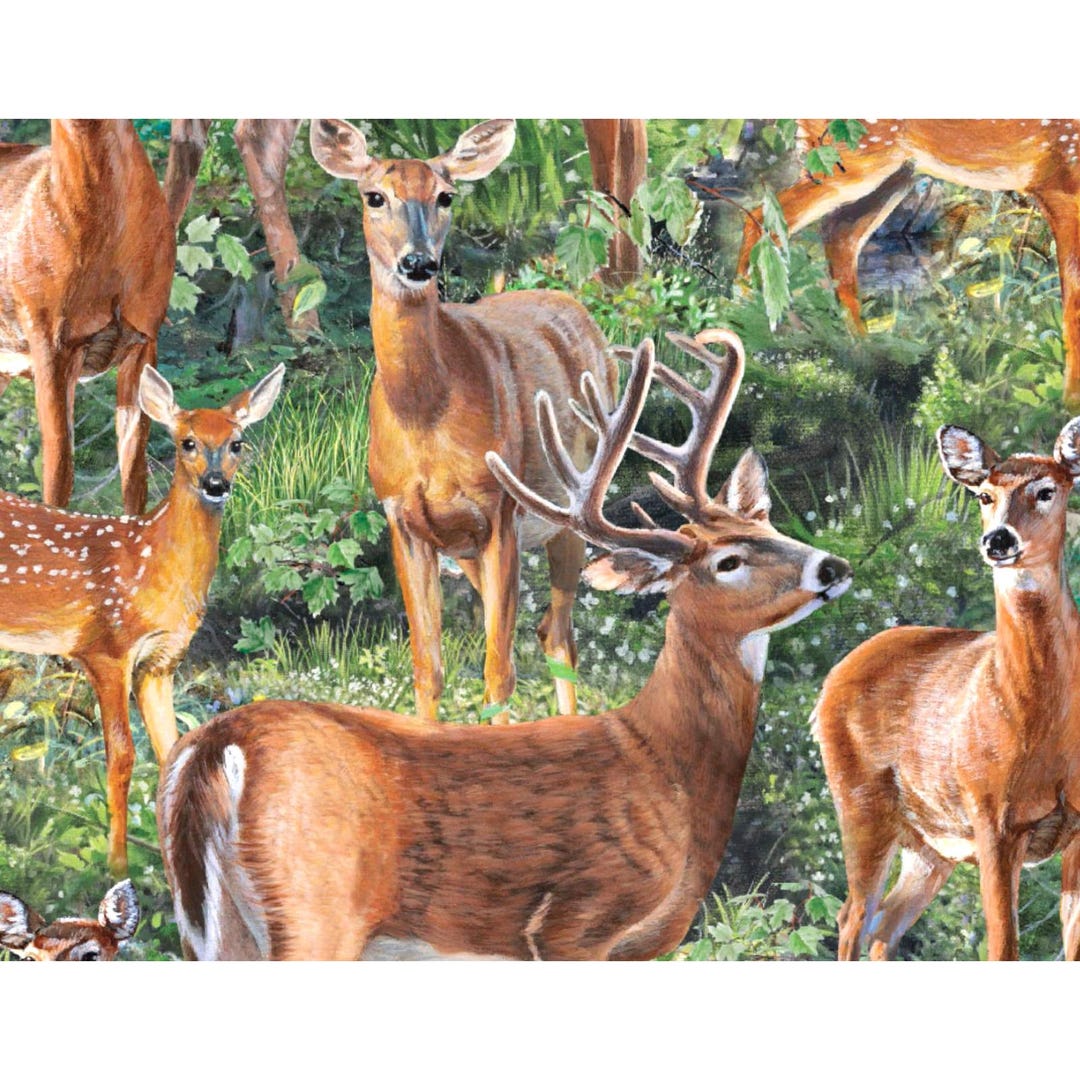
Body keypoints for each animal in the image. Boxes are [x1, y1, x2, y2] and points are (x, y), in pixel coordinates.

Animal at [0, 362, 284, 877]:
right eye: (187, 442)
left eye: (236, 443)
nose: (216, 485)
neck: (151, 565)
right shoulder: (106, 648)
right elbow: (122, 757)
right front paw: (117, 864)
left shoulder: (161, 661)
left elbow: (173, 750)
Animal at [156, 331, 853, 960]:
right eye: (729, 561)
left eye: (772, 527)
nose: (834, 566)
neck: (667, 766)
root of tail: (214, 750)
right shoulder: (576, 925)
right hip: (313, 913)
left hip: (214, 932)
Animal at [309, 117, 621, 725]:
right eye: (373, 196)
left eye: (445, 195)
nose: (418, 263)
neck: (426, 420)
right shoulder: (403, 520)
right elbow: (428, 669)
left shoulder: (500, 510)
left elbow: (498, 673)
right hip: (471, 549)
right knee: (546, 630)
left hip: (571, 509)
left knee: (558, 635)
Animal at [735, 120, 1080, 405]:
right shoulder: (1061, 177)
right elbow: (1073, 303)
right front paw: (1068, 404)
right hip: (854, 154)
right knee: (765, 217)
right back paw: (747, 324)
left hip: (895, 170)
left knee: (840, 233)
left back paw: (864, 355)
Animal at [812, 418, 1080, 961]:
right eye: (983, 495)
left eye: (1047, 491)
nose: (998, 540)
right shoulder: (992, 817)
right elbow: (1003, 947)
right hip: (859, 803)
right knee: (852, 918)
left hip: (931, 845)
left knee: (885, 926)